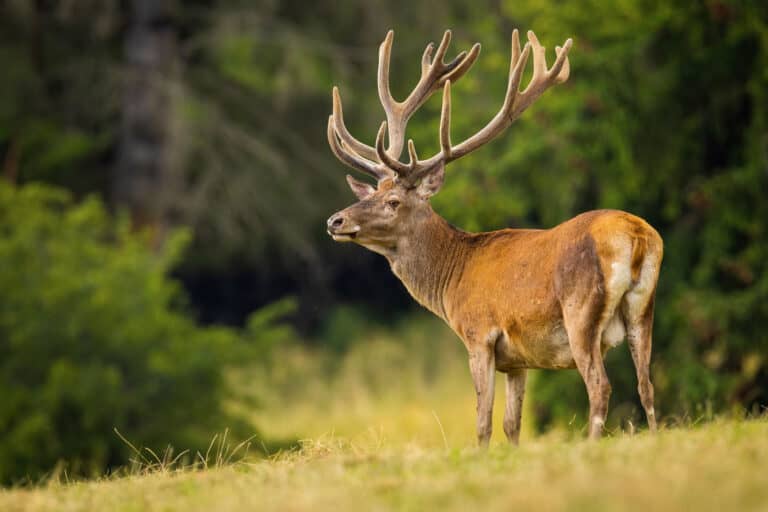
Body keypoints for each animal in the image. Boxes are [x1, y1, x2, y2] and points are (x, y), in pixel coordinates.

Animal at [325, 28, 663, 445]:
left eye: (393, 201)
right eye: (369, 193)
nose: (336, 220)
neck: (452, 280)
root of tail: (637, 236)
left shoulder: (479, 335)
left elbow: (483, 422)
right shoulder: (517, 359)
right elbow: (511, 424)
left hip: (580, 311)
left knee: (600, 385)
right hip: (643, 309)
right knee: (647, 385)